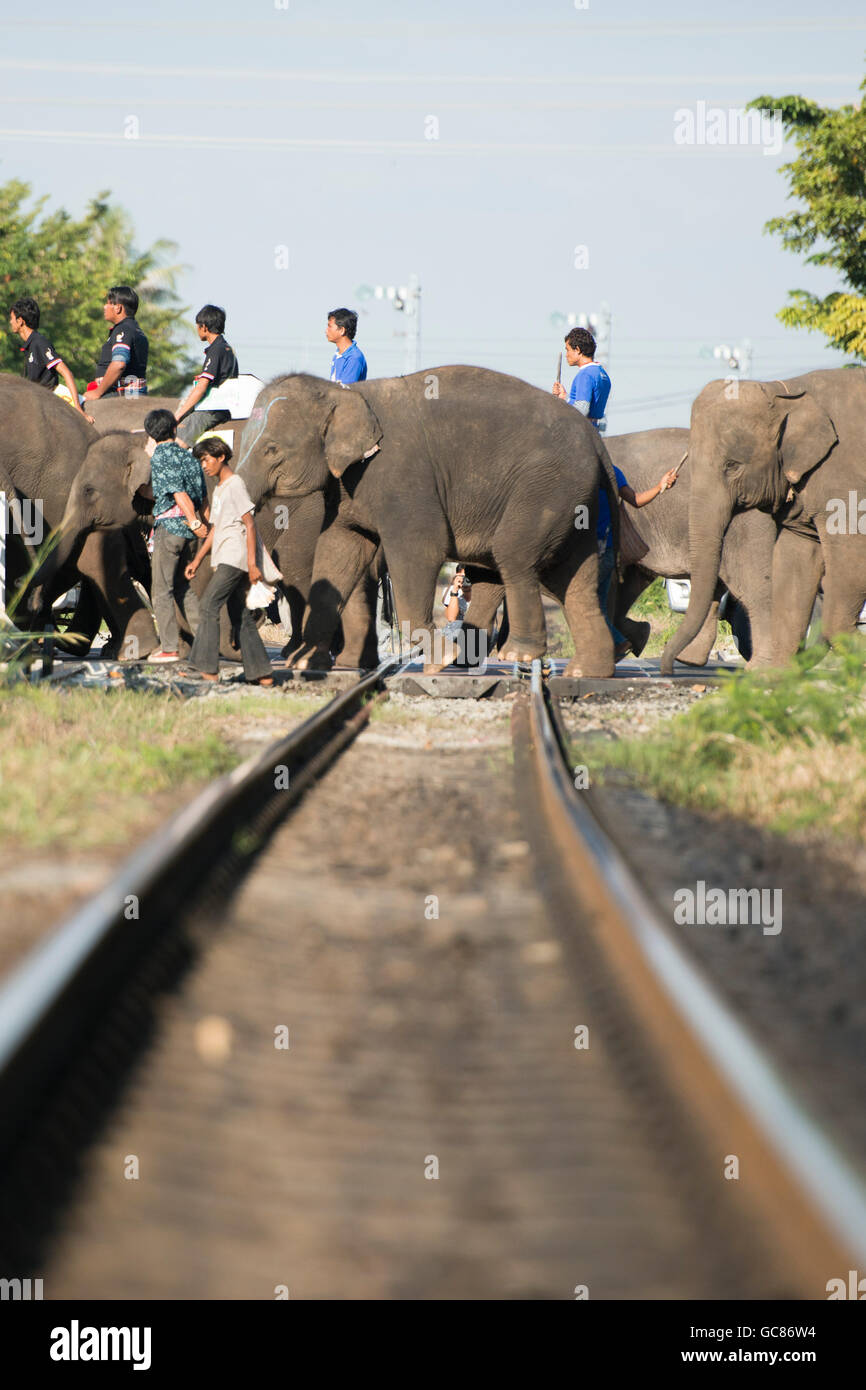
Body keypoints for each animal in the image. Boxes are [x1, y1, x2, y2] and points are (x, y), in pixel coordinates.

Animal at [235, 367, 622, 677]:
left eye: (271, 449)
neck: (346, 393)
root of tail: (595, 440)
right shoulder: (347, 488)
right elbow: (340, 550)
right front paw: (305, 663)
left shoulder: (402, 474)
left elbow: (419, 549)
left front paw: (440, 660)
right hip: (573, 501)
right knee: (575, 579)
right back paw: (586, 671)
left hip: (547, 486)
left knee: (515, 555)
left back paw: (519, 654)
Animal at [661, 369, 866, 674]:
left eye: (732, 466)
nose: (669, 670)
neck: (782, 392)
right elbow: (794, 560)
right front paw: (774, 676)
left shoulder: (845, 481)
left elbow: (849, 555)